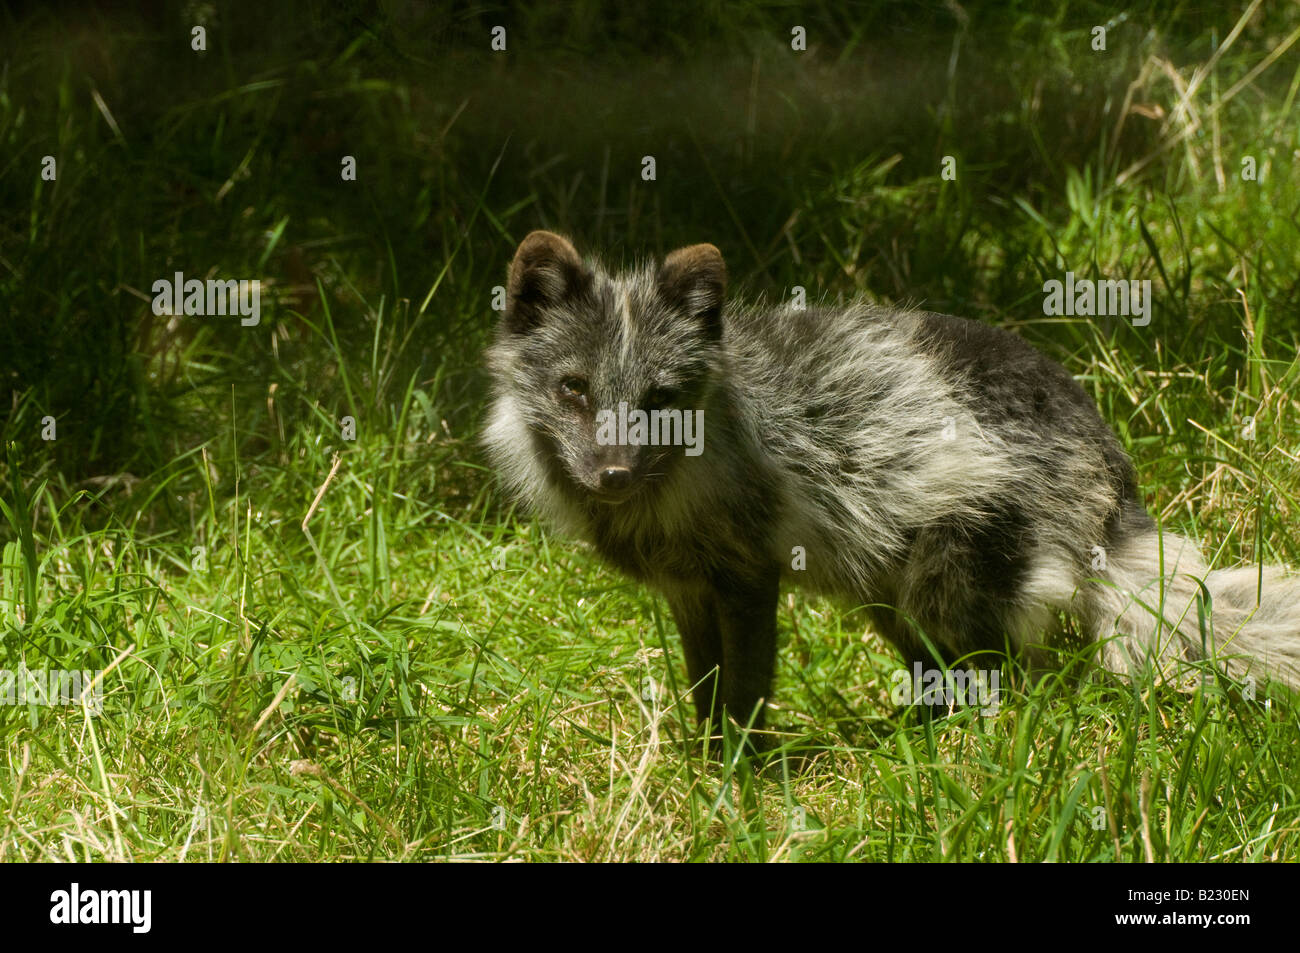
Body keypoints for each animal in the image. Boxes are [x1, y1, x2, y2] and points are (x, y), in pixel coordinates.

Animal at [483, 229, 1300, 737]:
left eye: (659, 400)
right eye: (574, 389)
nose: (613, 473)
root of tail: (1109, 460)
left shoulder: (747, 576)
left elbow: (745, 692)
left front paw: (738, 783)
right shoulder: (688, 589)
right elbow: (706, 690)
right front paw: (704, 764)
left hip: (948, 579)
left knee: (1012, 677)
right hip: (889, 592)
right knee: (949, 672)